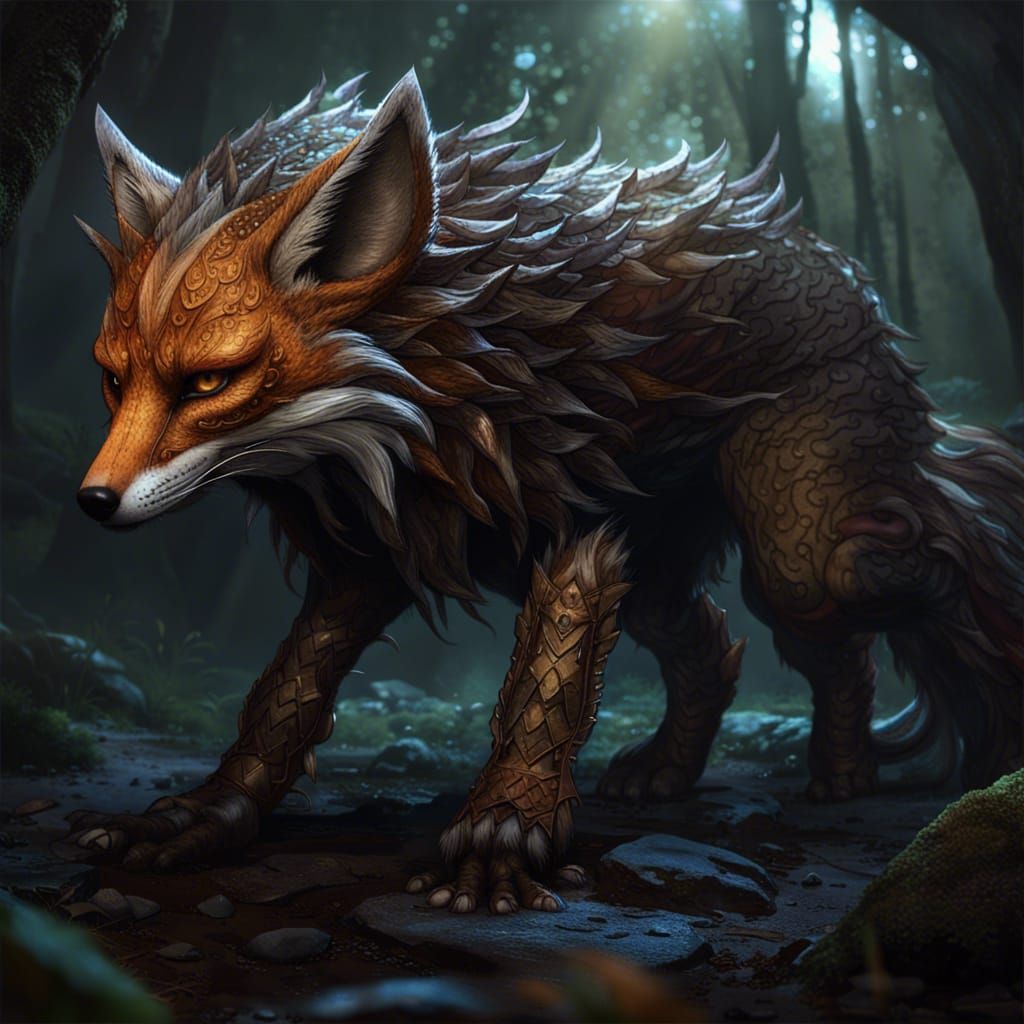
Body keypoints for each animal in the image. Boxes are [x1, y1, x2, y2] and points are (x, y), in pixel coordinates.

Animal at [67, 70, 1023, 915]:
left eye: (208, 382)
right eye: (113, 380)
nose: (92, 503)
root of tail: (834, 261)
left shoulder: (577, 524)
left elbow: (542, 690)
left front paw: (503, 834)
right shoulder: (373, 552)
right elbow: (285, 695)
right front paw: (208, 813)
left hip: (807, 538)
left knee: (880, 587)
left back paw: (854, 764)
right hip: (679, 555)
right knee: (713, 642)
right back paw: (687, 771)